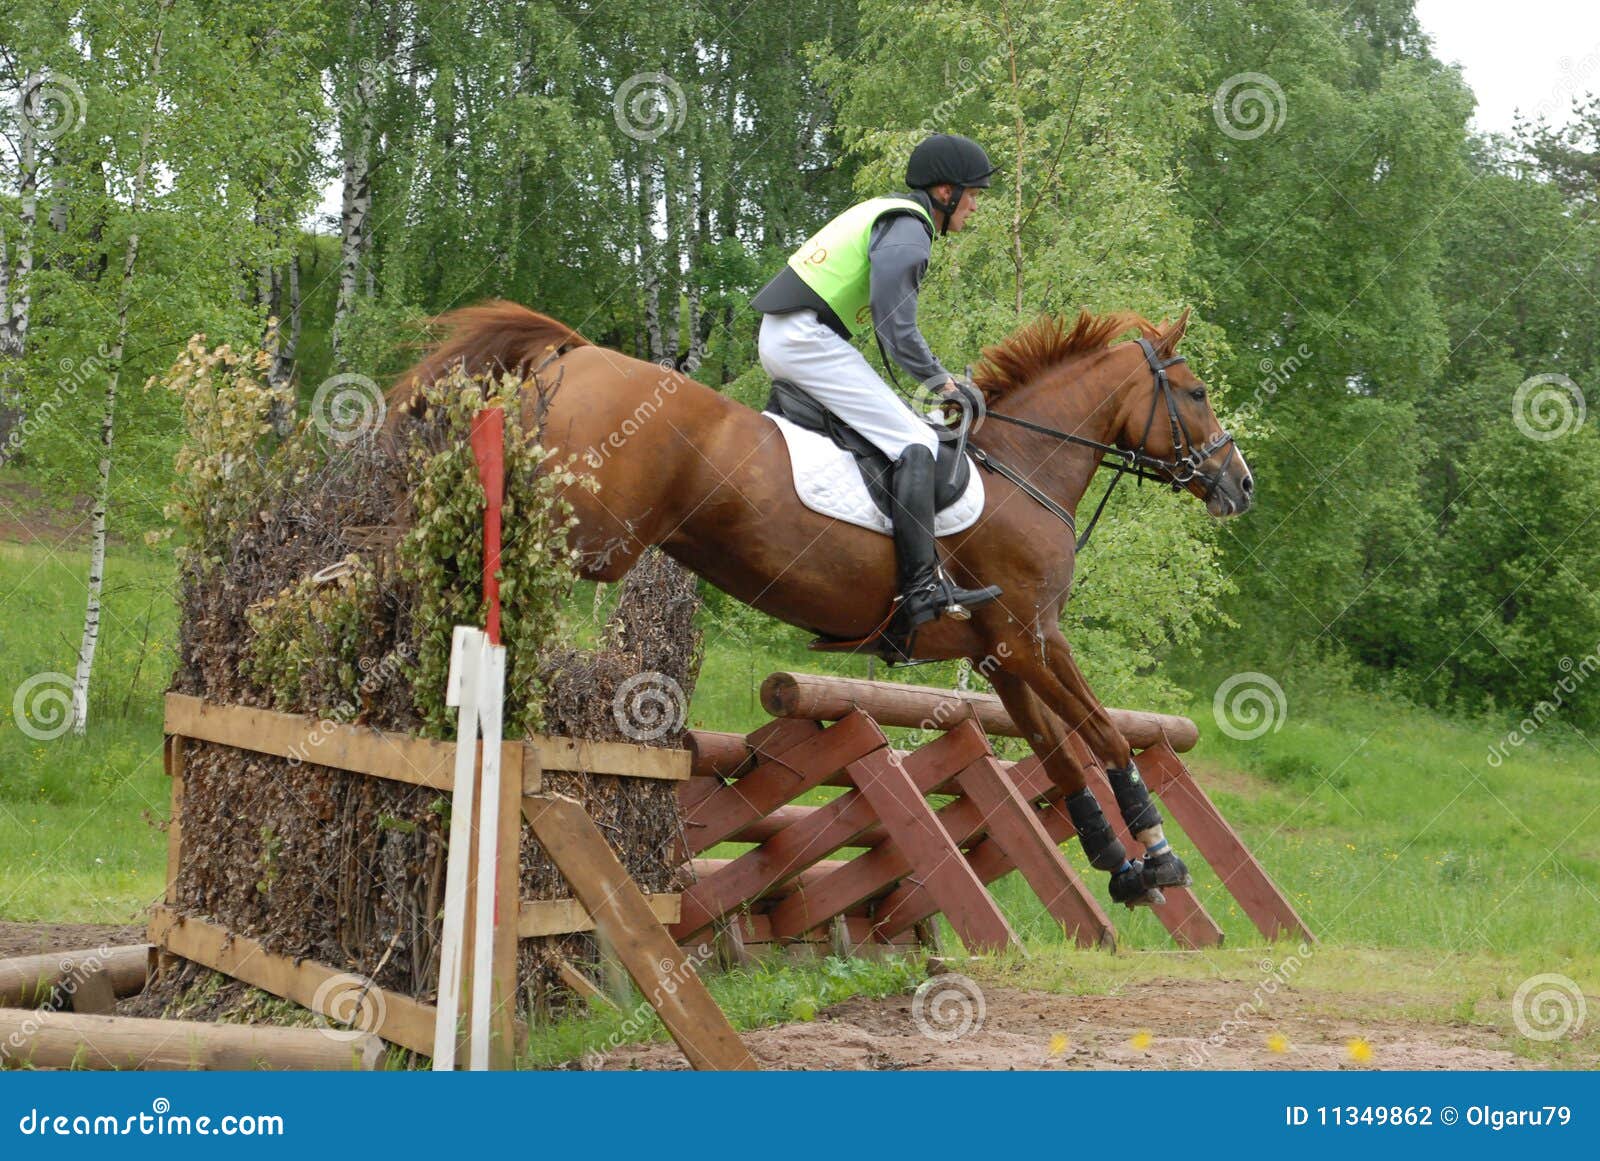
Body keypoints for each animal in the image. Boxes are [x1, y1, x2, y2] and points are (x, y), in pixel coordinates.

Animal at [388, 301, 1253, 909]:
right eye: (1199, 392)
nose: (1240, 484)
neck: (1022, 468)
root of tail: (580, 353)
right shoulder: (1033, 636)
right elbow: (1104, 734)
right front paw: (1158, 854)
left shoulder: (999, 653)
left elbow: (1063, 752)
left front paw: (1117, 864)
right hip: (583, 534)